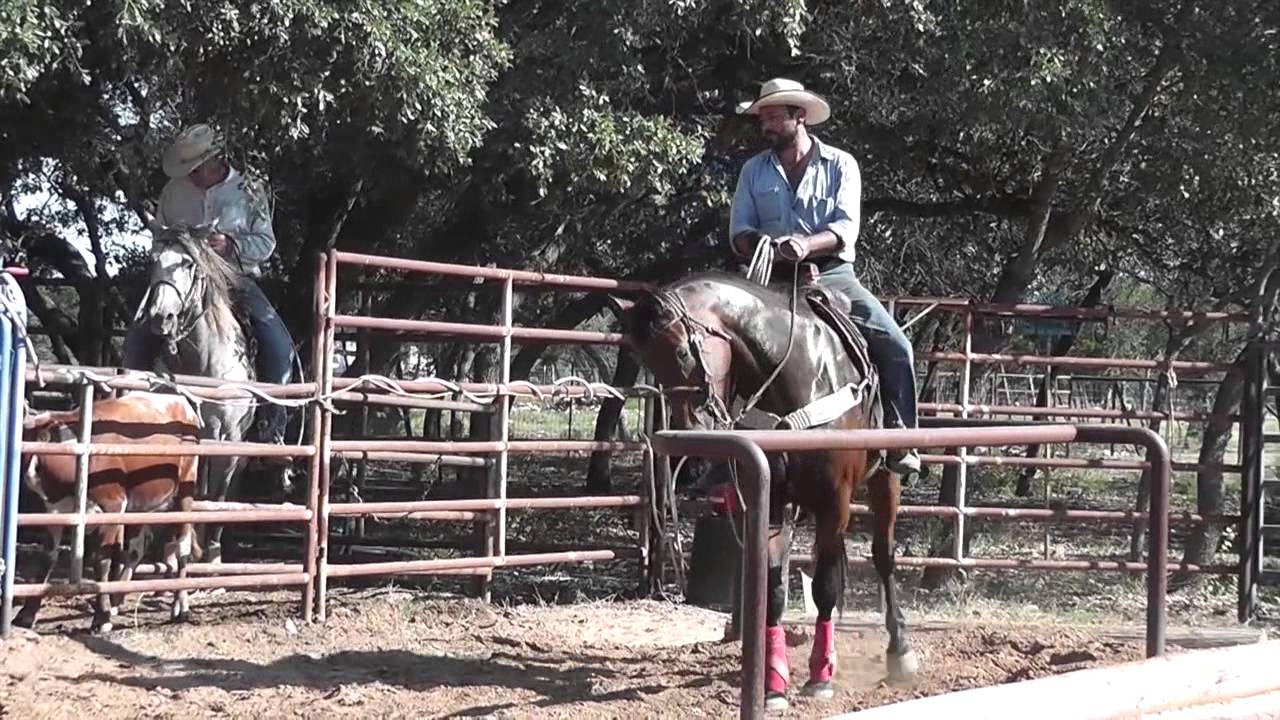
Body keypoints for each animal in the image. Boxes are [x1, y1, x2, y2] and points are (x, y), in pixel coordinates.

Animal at [15, 391, 202, 633]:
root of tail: (181, 402)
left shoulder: (113, 505)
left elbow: (101, 560)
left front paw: (101, 617)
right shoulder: (54, 510)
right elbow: (47, 557)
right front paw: (27, 613)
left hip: (185, 487)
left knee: (182, 546)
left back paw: (181, 606)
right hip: (142, 504)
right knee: (136, 549)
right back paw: (116, 600)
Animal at [131, 223, 257, 563]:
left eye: (188, 263)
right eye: (154, 261)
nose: (160, 317)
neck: (203, 363)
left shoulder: (228, 439)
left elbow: (218, 496)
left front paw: (210, 552)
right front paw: (173, 547)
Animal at [607, 270, 918, 710]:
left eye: (683, 352)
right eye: (647, 362)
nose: (693, 443)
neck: (803, 374)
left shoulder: (834, 501)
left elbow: (824, 587)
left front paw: (820, 678)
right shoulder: (771, 503)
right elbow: (772, 594)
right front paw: (773, 683)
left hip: (885, 480)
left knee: (883, 557)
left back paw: (899, 652)